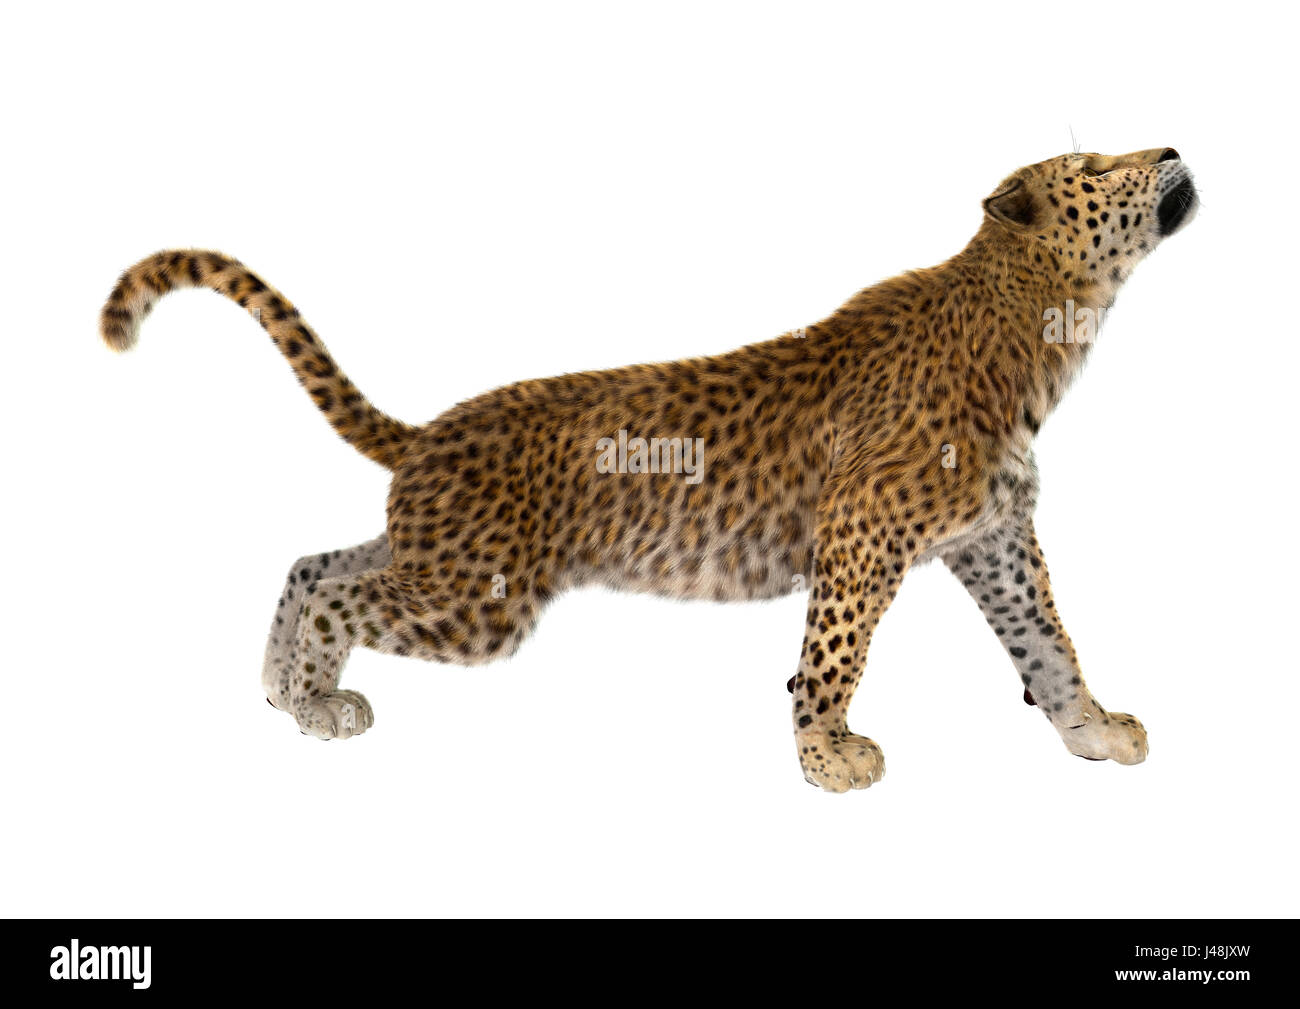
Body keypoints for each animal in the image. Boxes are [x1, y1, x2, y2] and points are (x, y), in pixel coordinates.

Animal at [99, 146, 1197, 792]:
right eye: (1099, 162)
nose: (1172, 147)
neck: (1045, 329)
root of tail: (429, 433)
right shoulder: (862, 534)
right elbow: (834, 655)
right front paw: (826, 755)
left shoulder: (992, 542)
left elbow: (1048, 645)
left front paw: (1094, 732)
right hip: (481, 597)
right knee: (341, 593)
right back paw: (316, 705)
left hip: (441, 559)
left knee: (314, 564)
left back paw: (283, 690)